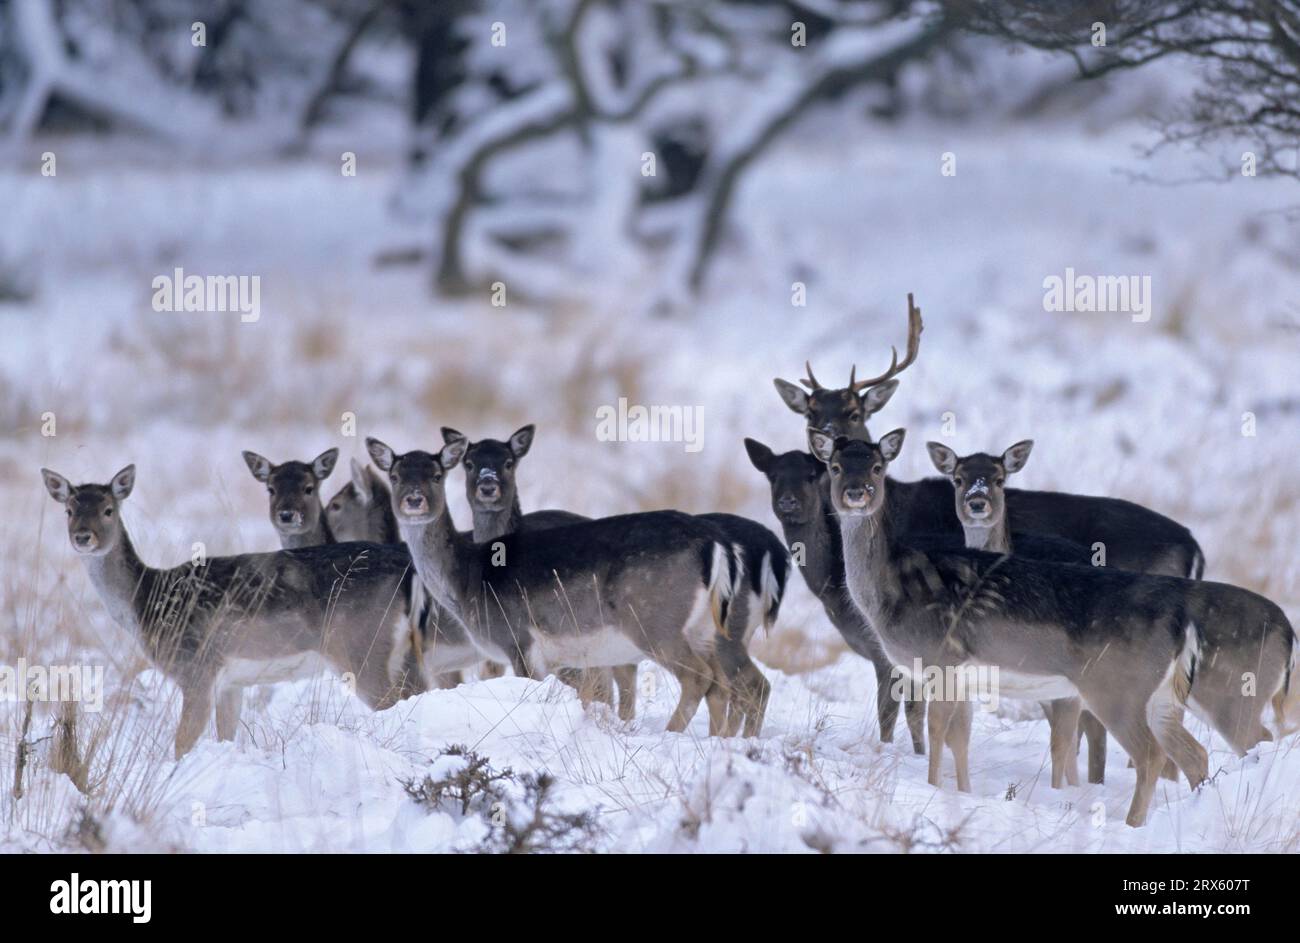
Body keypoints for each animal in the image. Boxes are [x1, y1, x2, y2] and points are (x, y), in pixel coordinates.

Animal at [41, 465, 424, 759]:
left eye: (108, 509)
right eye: (69, 510)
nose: (83, 536)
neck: (147, 599)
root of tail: (407, 564)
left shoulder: (196, 668)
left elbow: (182, 744)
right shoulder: (231, 682)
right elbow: (225, 736)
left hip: (362, 646)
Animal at [364, 435, 757, 735]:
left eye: (436, 474)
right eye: (395, 474)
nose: (414, 500)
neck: (467, 580)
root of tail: (715, 543)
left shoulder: (518, 637)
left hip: (655, 619)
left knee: (701, 677)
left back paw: (669, 734)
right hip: (703, 628)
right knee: (723, 683)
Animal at [809, 430, 1296, 827]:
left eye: (878, 467)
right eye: (835, 466)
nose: (855, 493)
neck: (892, 591)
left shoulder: (940, 660)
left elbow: (936, 734)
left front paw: (934, 790)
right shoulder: (964, 677)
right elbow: (960, 740)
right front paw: (963, 795)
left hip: (1127, 687)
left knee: (1159, 753)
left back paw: (1133, 825)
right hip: (1163, 695)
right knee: (1194, 754)